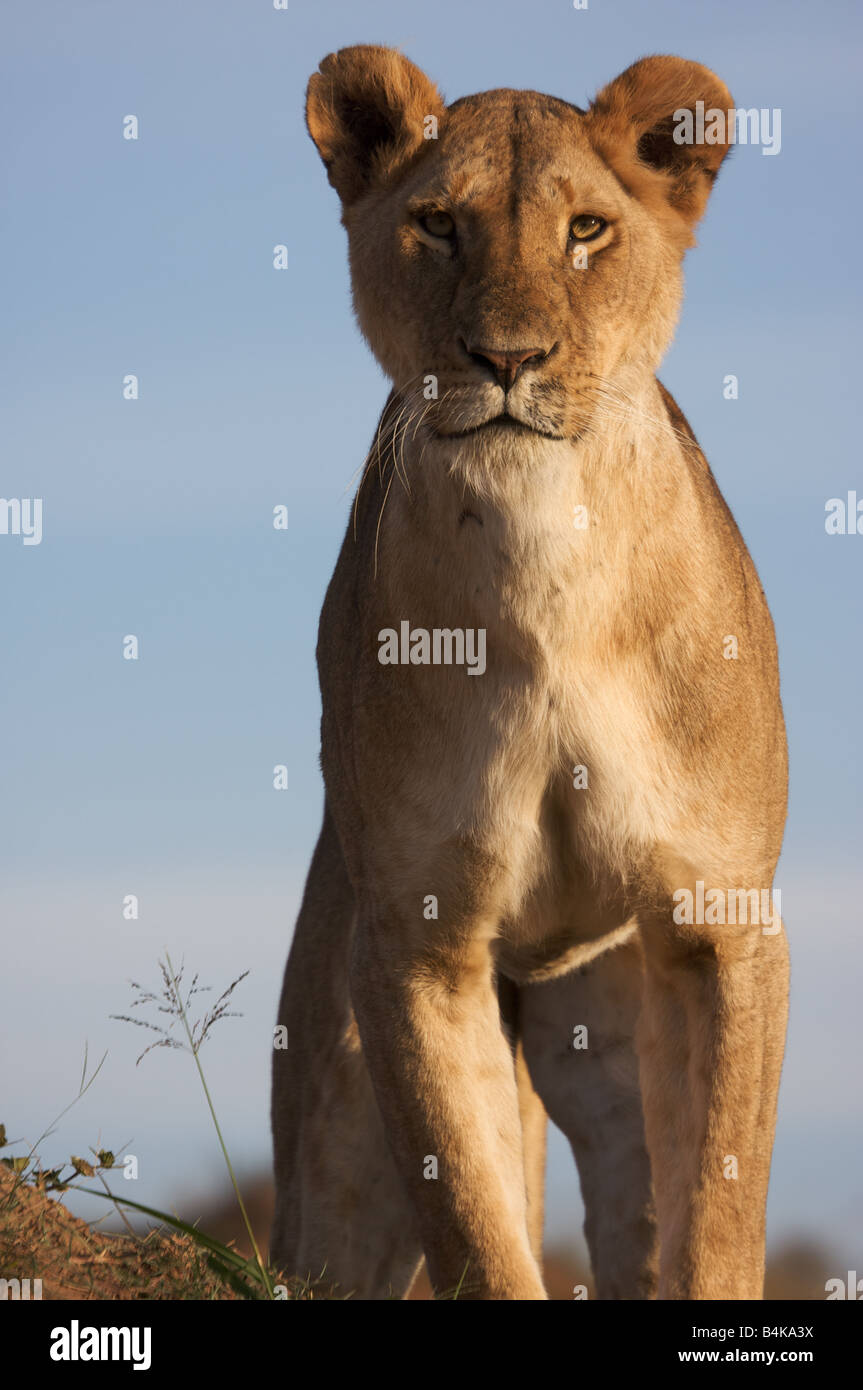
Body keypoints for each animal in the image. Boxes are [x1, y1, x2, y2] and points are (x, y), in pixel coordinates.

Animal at [271, 46, 789, 1301]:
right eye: (436, 224)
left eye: (587, 229)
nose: (506, 359)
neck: (542, 549)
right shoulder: (414, 945)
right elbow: (472, 1219)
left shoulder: (719, 921)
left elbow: (716, 1212)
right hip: (339, 1115)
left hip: (610, 1032)